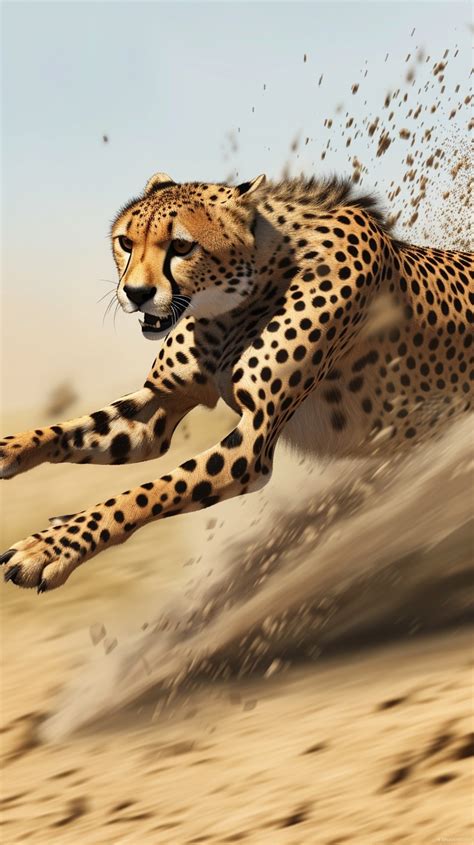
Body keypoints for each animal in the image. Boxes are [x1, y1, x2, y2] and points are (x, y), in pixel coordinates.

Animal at [1, 171, 472, 592]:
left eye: (181, 246)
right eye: (126, 243)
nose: (135, 294)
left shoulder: (251, 444)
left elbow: (145, 494)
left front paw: (49, 549)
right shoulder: (156, 411)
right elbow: (66, 432)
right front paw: (10, 451)